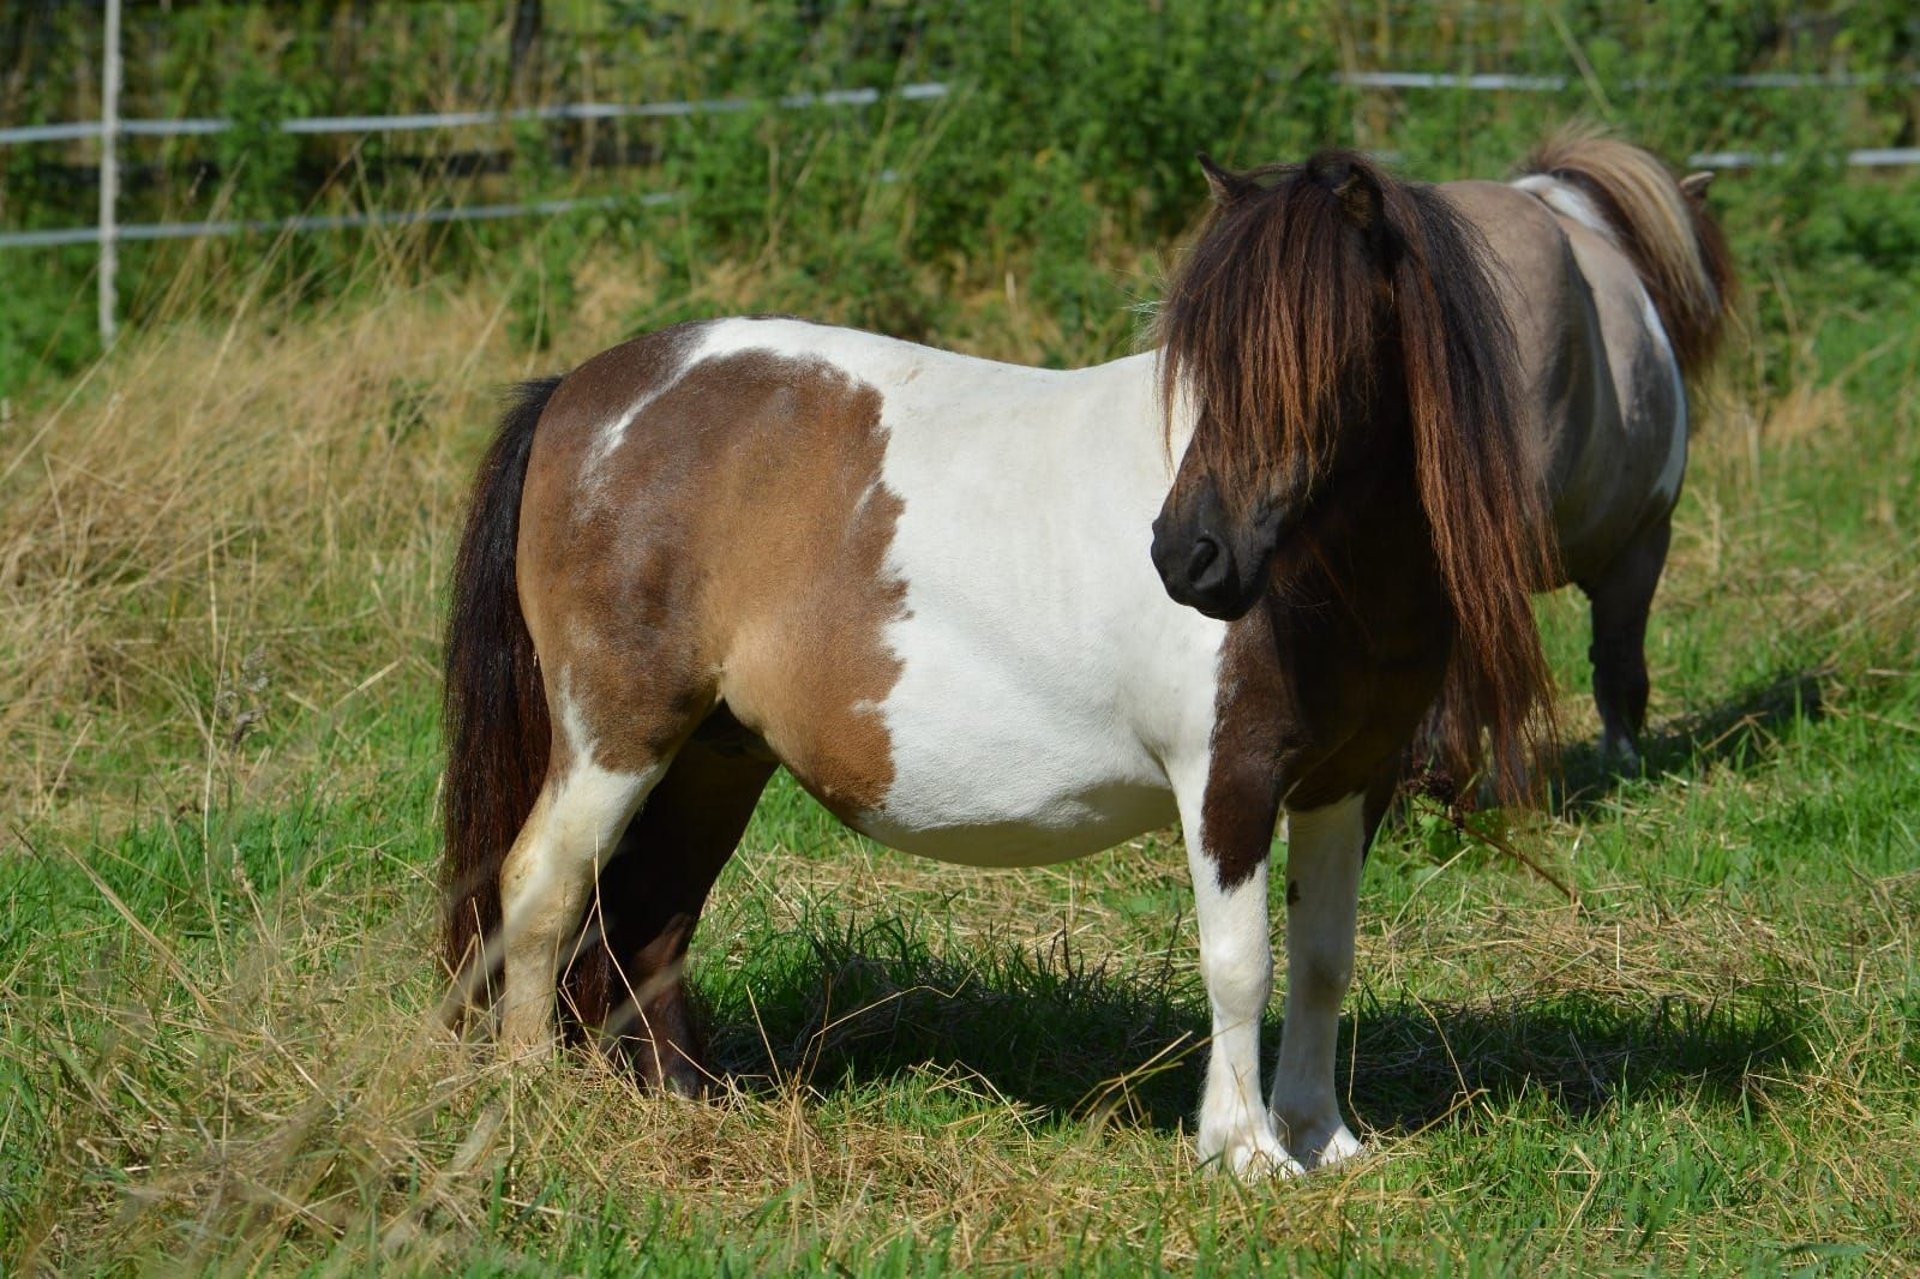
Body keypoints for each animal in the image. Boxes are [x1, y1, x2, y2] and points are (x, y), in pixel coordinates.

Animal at [439, 137, 1673, 1177]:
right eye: (1200, 355)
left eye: (1316, 354)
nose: (1187, 555)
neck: (1322, 577)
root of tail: (580, 395)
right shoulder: (1226, 785)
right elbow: (1241, 964)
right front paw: (1246, 1153)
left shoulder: (1347, 785)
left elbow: (1324, 961)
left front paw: (1323, 1138)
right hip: (618, 738)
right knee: (542, 886)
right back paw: (529, 1096)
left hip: (713, 758)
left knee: (650, 919)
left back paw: (692, 1111)